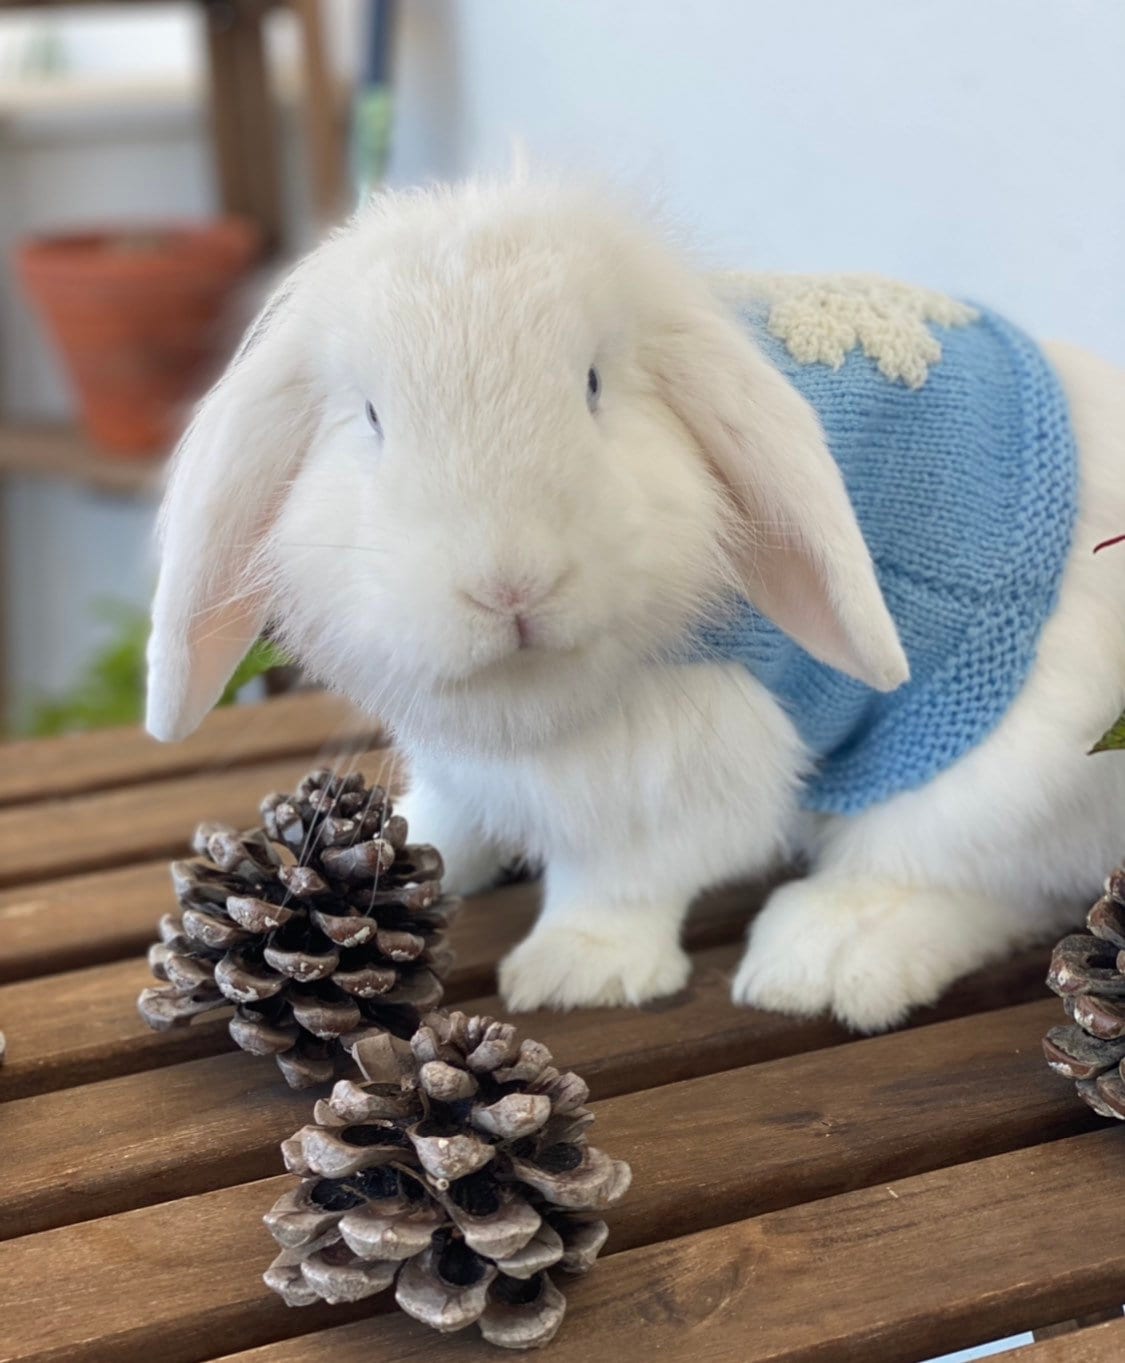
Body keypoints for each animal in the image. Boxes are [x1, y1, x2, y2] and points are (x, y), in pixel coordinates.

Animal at [146, 175, 1125, 1032]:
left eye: (591, 385)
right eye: (373, 418)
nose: (510, 583)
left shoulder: (668, 766)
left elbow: (623, 873)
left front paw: (577, 970)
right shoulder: (461, 755)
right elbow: (452, 810)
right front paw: (407, 853)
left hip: (1011, 766)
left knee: (957, 876)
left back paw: (821, 960)